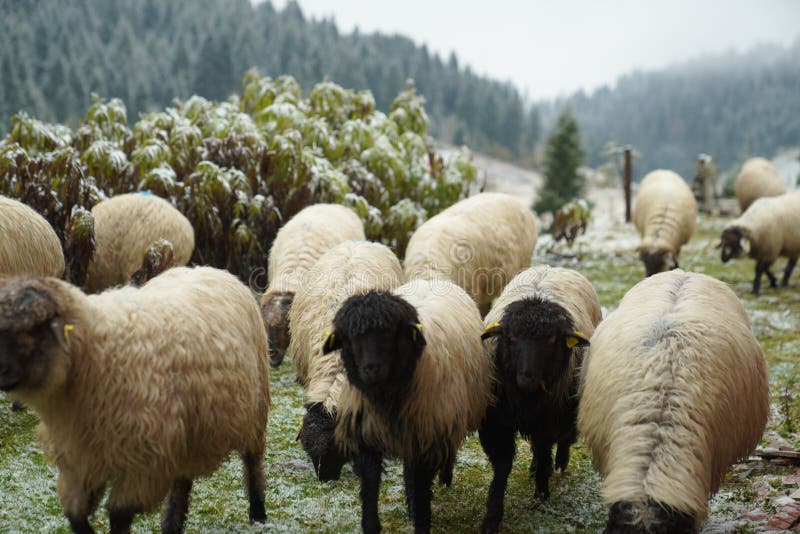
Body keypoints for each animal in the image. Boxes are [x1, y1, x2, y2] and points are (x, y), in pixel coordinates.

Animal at [0, 266, 271, 533]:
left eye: (31, 329)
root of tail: (213, 269)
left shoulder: (142, 463)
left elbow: (118, 517)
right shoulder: (79, 460)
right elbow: (75, 516)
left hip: (255, 412)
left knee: (253, 463)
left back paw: (258, 514)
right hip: (189, 431)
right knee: (182, 481)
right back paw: (171, 524)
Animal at [322, 279, 494, 533]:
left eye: (388, 333)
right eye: (350, 338)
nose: (370, 369)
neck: (386, 397)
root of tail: (433, 279)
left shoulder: (428, 434)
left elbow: (421, 489)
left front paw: (421, 521)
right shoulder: (367, 434)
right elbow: (370, 484)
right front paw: (371, 525)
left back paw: (444, 480)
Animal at [479, 265, 601, 534]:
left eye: (552, 340)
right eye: (511, 338)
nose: (528, 377)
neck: (528, 397)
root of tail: (554, 268)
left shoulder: (550, 420)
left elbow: (545, 451)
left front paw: (542, 494)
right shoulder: (497, 424)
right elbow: (502, 466)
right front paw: (492, 515)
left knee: (561, 441)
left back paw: (558, 463)